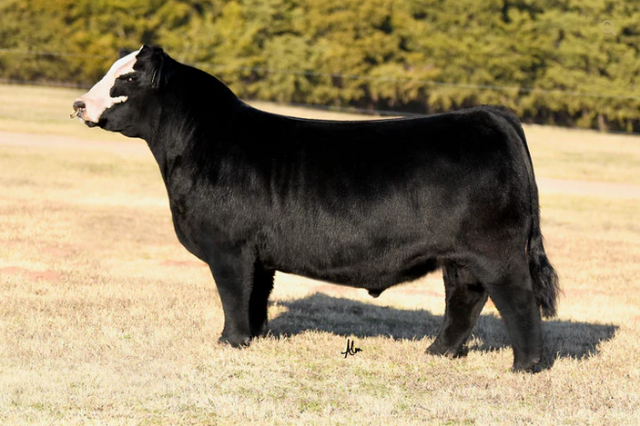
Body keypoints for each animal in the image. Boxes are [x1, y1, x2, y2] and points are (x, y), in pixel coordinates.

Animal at [72, 45, 559, 372]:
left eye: (127, 79)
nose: (79, 104)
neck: (196, 144)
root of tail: (487, 113)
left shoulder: (228, 247)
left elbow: (232, 295)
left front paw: (230, 342)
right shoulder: (258, 255)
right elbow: (255, 297)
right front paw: (255, 337)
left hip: (496, 251)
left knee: (518, 299)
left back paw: (526, 366)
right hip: (461, 256)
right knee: (466, 297)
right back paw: (439, 352)